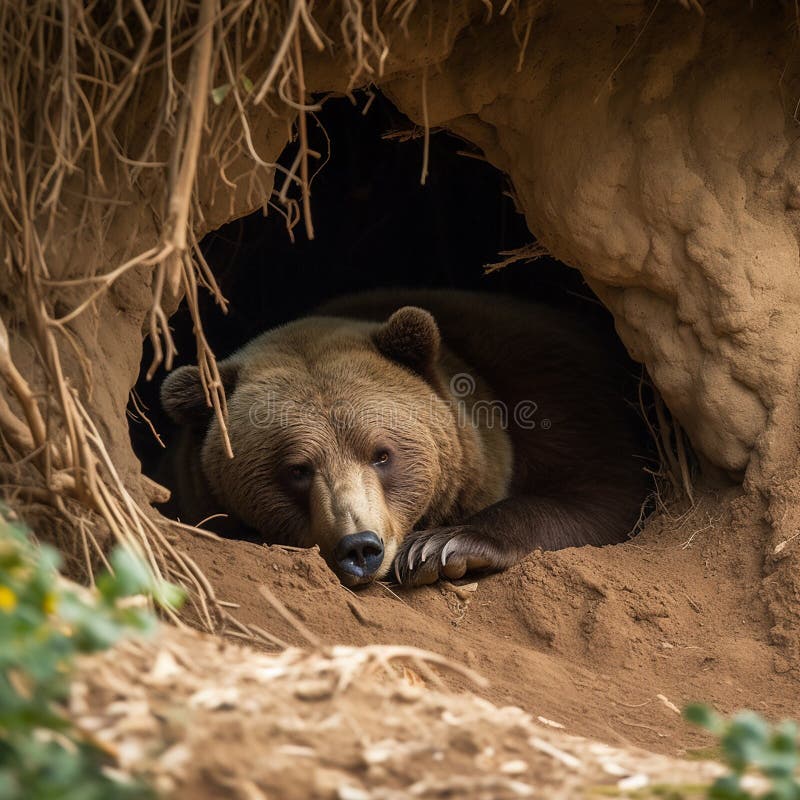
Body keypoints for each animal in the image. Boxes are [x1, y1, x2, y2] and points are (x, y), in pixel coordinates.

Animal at [158, 290, 649, 588]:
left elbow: (603, 491)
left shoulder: (553, 386)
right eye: (297, 469)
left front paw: (438, 546)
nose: (359, 546)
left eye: (381, 454)